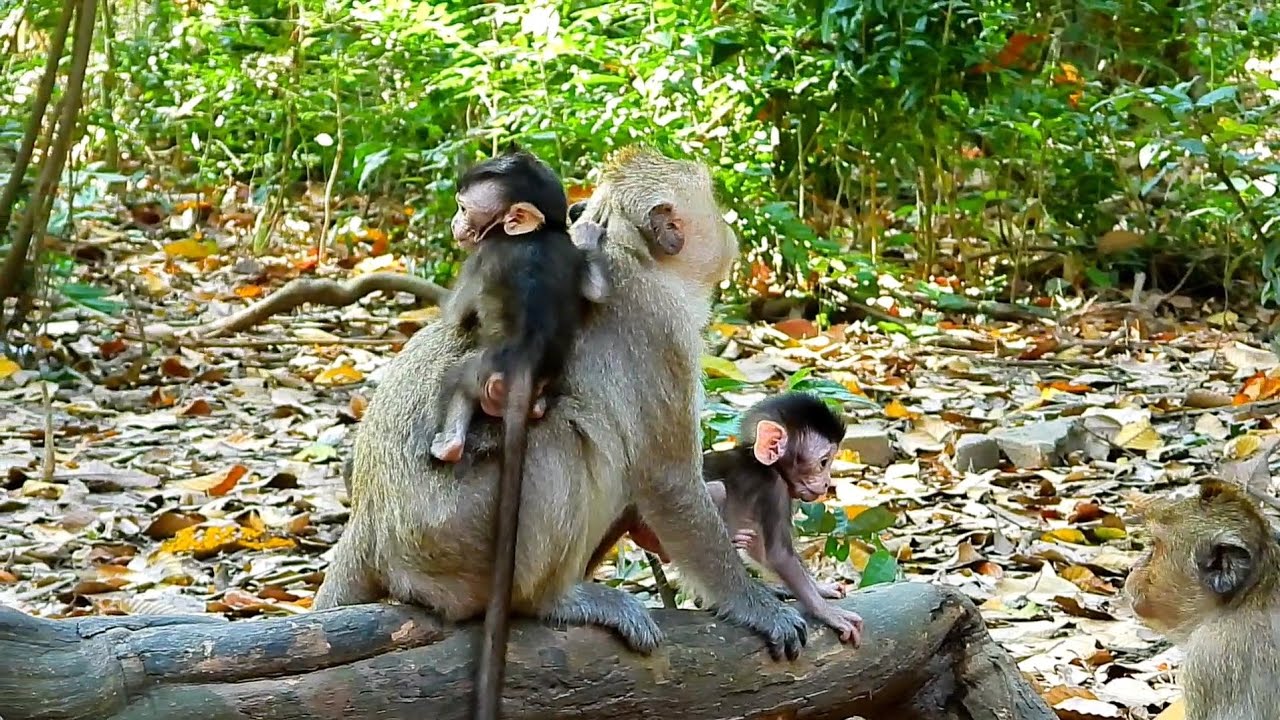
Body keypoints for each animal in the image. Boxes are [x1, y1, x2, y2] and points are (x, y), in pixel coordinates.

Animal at [312, 146, 808, 669]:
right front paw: (757, 606)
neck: (636, 254)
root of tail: (367, 518)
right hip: (444, 544)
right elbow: (669, 481)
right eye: (712, 203)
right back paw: (554, 599)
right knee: (557, 438)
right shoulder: (660, 329)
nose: (730, 232)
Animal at [586, 392, 864, 645]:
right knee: (712, 494)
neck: (763, 464)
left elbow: (761, 551)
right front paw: (827, 612)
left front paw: (821, 588)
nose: (827, 483)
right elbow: (778, 555)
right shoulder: (774, 489)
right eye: (824, 462)